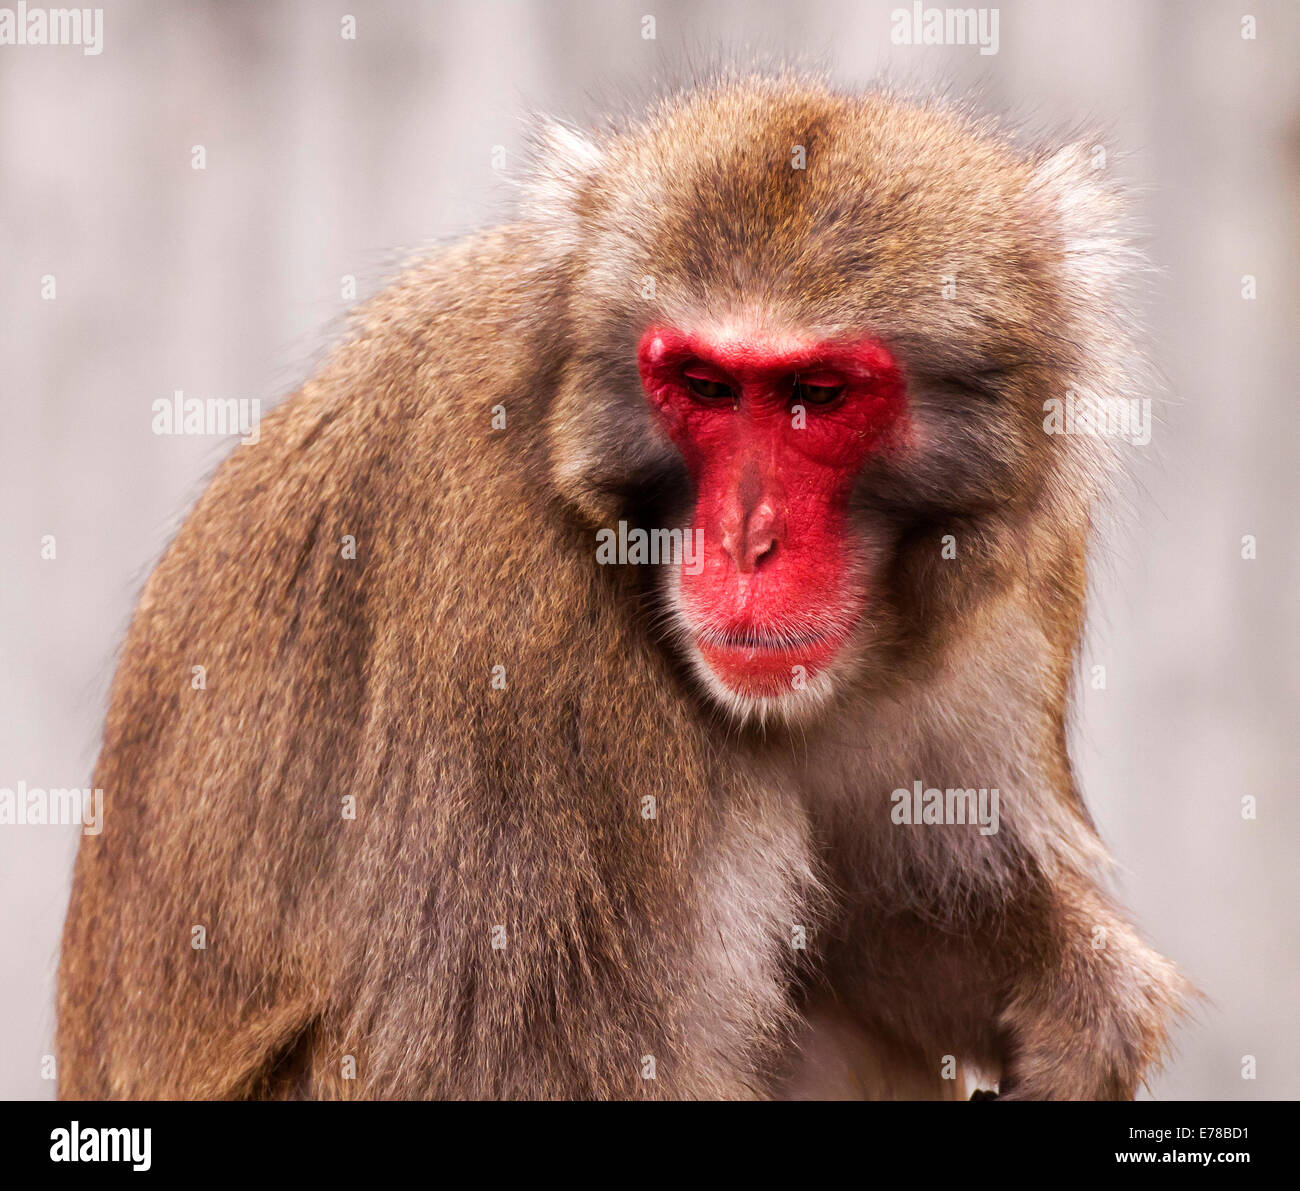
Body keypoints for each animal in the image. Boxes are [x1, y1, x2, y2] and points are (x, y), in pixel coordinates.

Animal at [57, 73, 1189, 1101]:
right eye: (704, 385)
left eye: (818, 393)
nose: (746, 542)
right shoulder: (512, 620)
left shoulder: (1028, 560)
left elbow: (886, 894)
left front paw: (1080, 999)